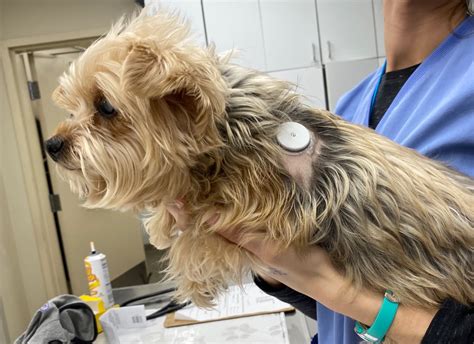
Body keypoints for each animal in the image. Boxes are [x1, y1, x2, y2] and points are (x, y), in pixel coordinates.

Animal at [46, 9, 472, 308]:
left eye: (105, 107)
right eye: (74, 106)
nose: (51, 144)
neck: (229, 131)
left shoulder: (261, 210)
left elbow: (196, 239)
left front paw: (190, 276)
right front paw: (164, 220)